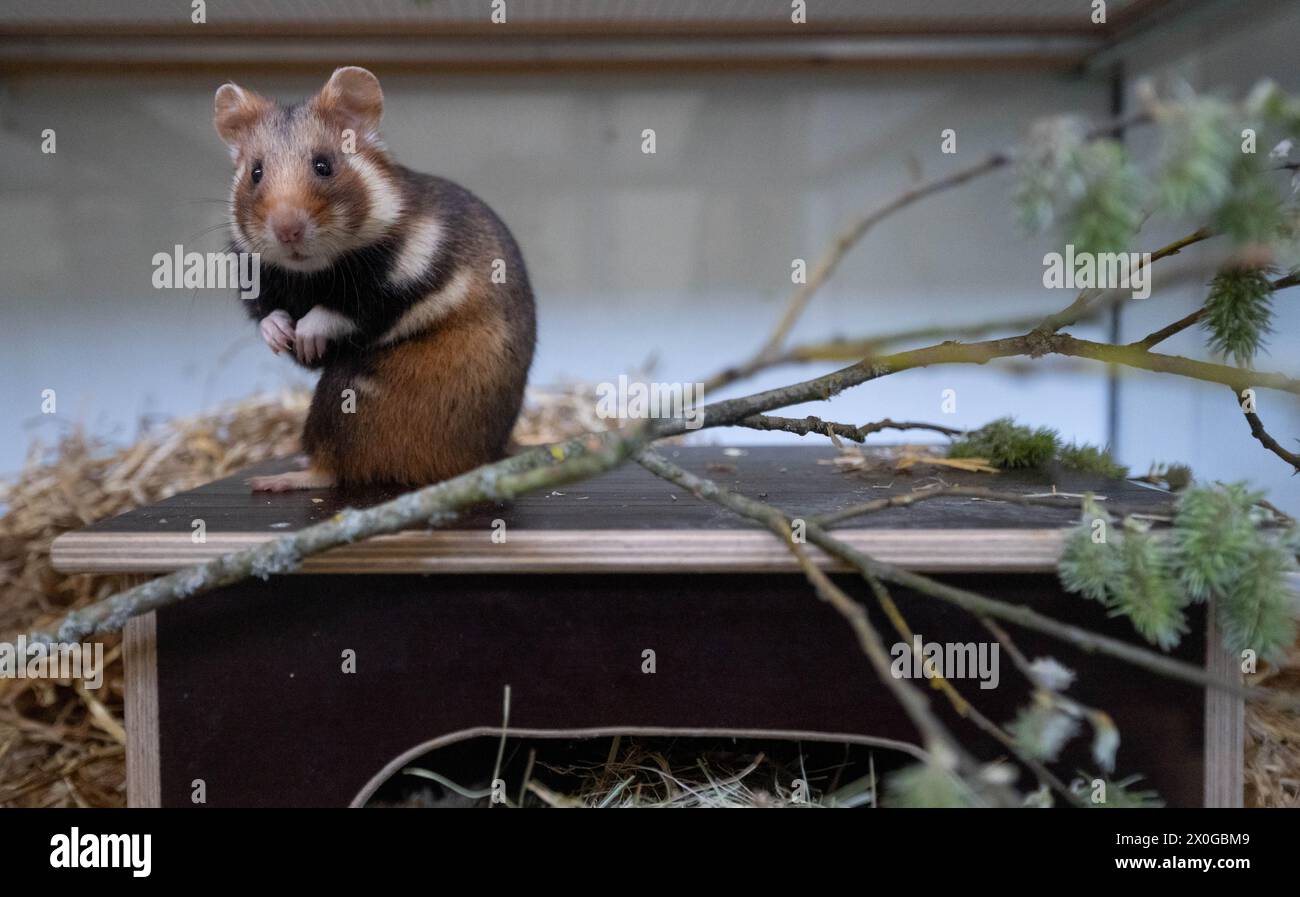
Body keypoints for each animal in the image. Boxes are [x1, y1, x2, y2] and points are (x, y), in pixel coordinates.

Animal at [213, 67, 536, 491]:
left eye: (324, 165)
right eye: (255, 173)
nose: (287, 232)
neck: (311, 273)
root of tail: (484, 459)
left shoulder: (401, 284)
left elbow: (342, 312)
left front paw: (306, 335)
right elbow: (270, 315)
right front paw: (280, 333)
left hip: (344, 393)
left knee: (331, 471)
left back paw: (276, 479)